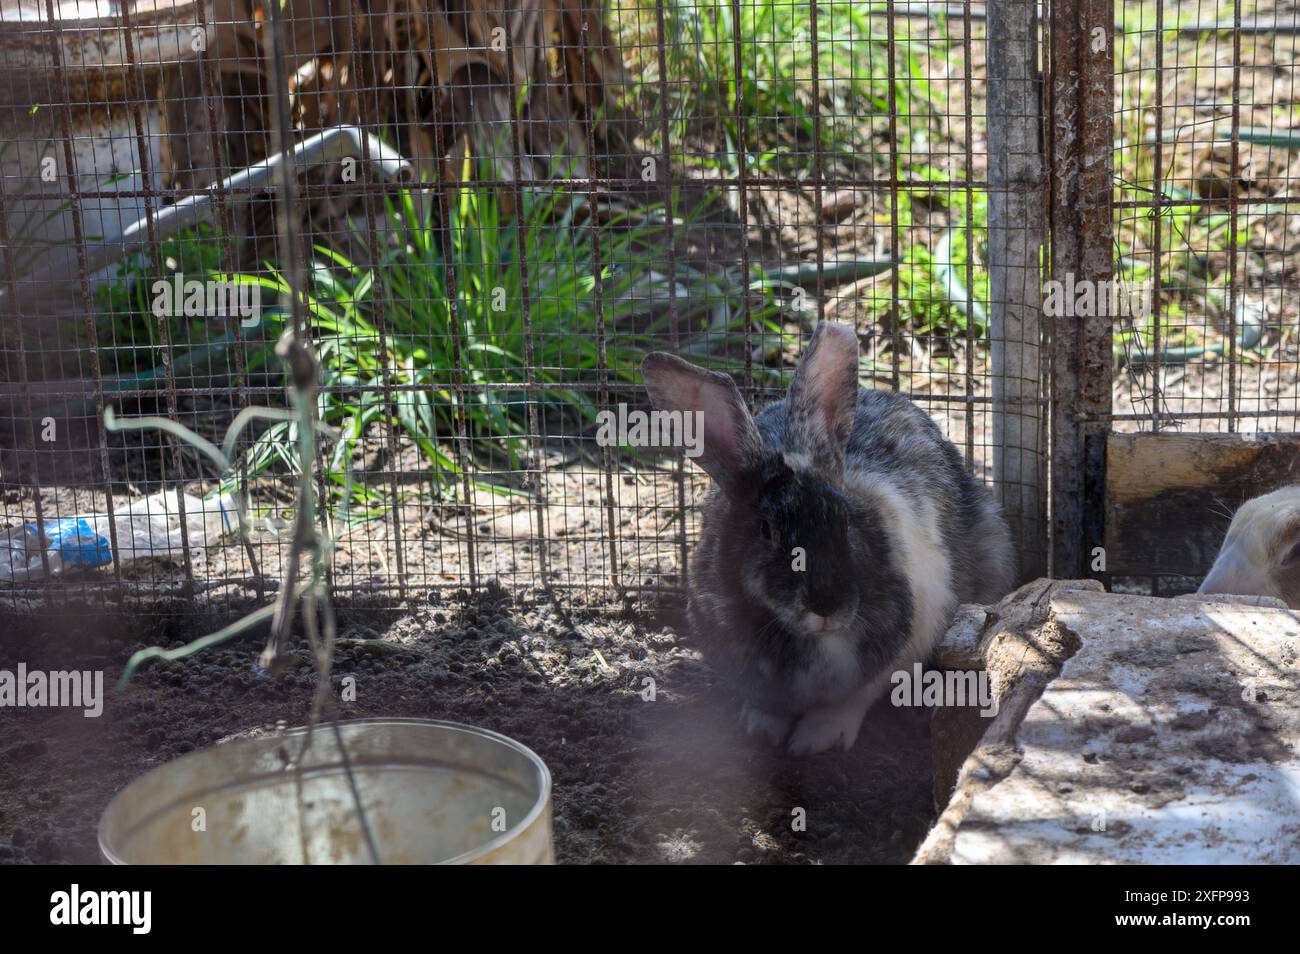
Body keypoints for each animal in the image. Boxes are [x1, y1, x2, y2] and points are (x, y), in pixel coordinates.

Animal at [642, 321, 1015, 755]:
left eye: (846, 520)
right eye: (766, 530)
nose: (826, 604)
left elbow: (852, 700)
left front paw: (816, 740)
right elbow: (767, 704)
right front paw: (761, 729)